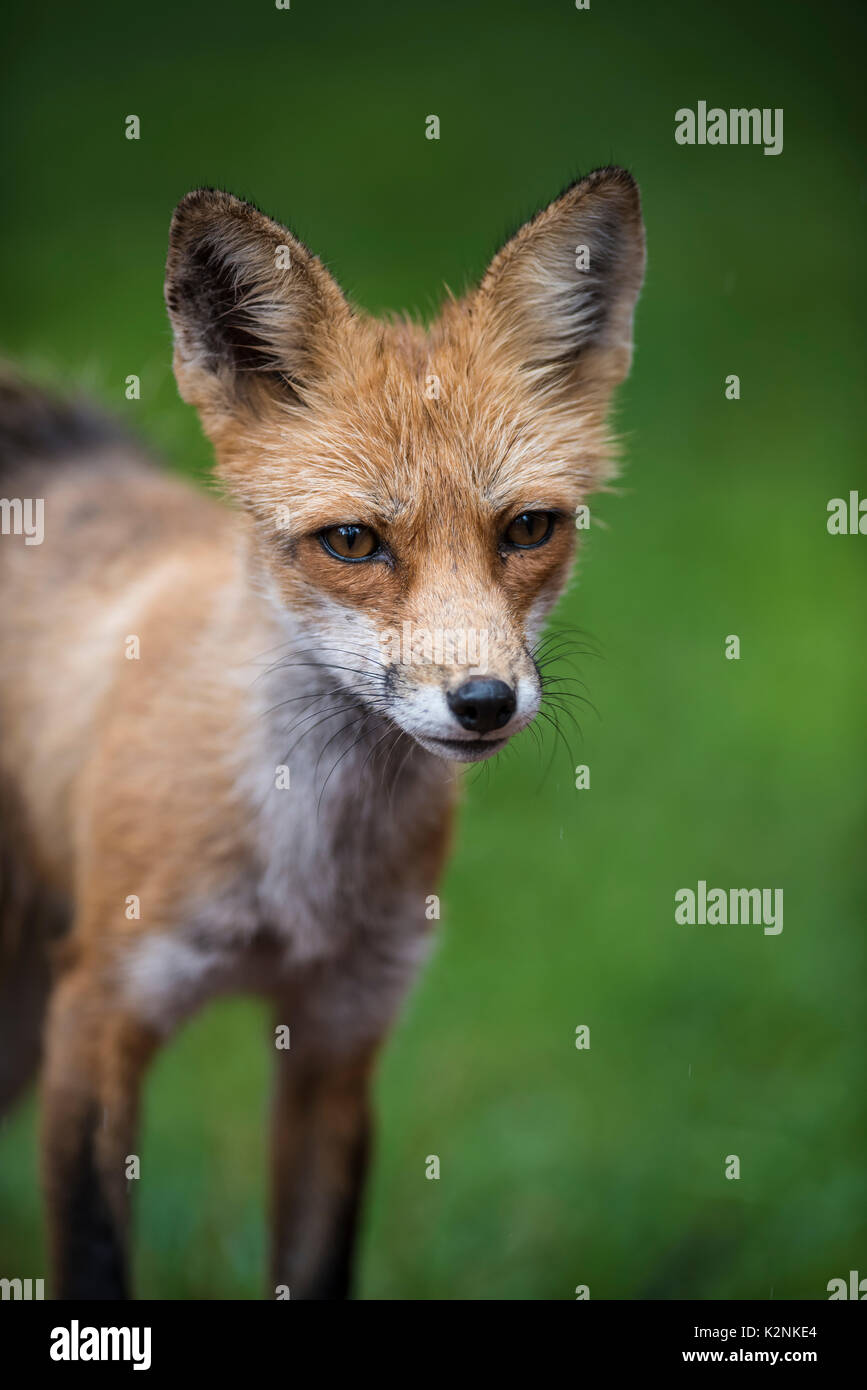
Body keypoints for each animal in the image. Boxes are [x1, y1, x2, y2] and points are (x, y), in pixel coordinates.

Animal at [0, 167, 645, 1300]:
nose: (484, 701)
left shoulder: (342, 1033)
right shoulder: (98, 1017)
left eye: (528, 528)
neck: (301, 872)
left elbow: (316, 1264)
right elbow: (93, 1259)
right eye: (352, 541)